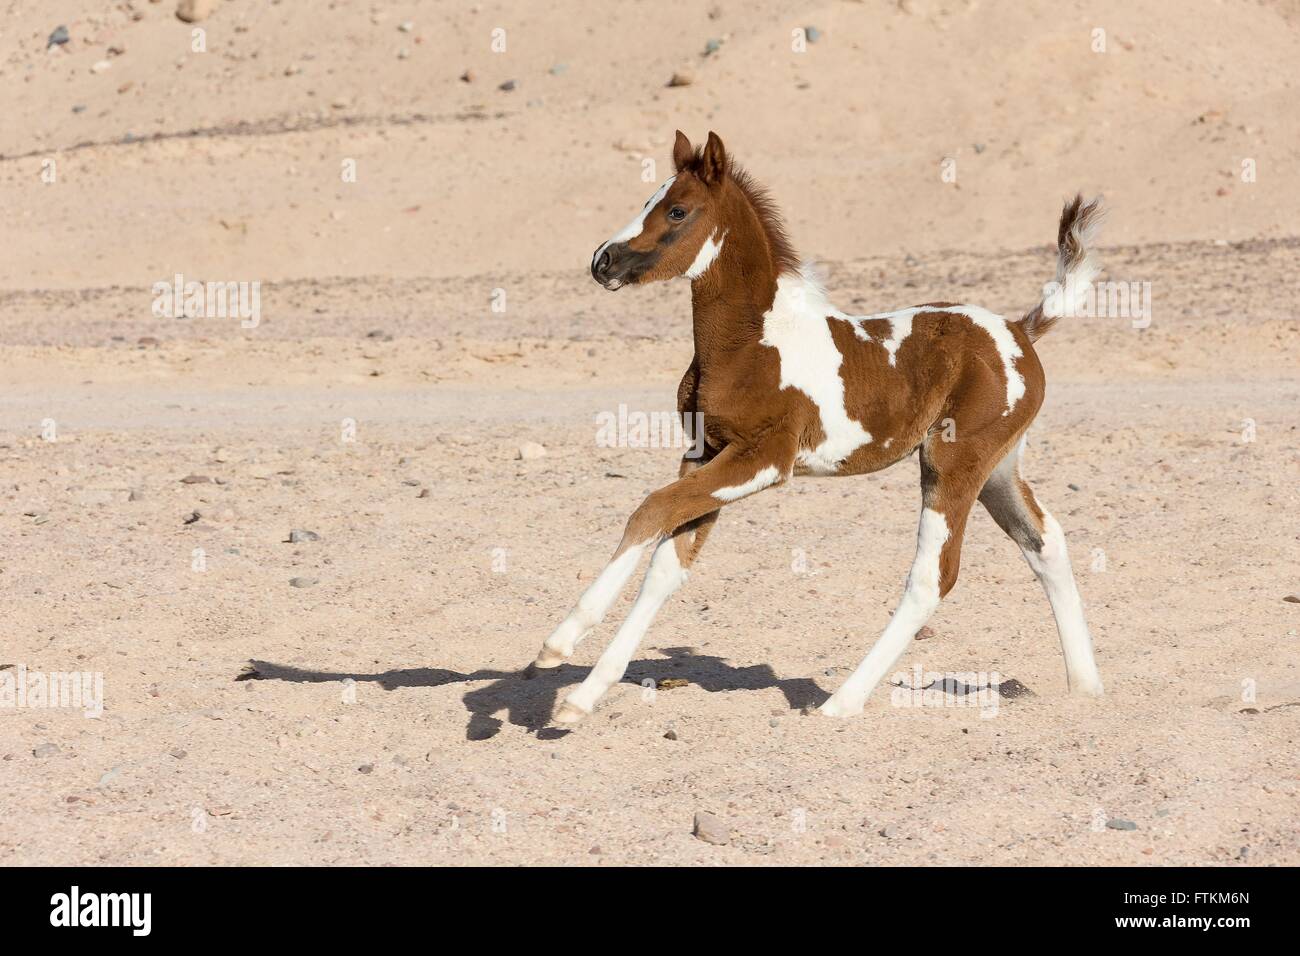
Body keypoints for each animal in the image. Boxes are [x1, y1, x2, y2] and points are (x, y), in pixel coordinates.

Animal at [528, 130, 1105, 724]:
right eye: (648, 201)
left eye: (677, 210)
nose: (603, 261)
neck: (750, 342)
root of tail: (1020, 331)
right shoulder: (704, 453)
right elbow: (667, 562)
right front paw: (580, 699)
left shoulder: (764, 459)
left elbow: (652, 508)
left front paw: (559, 644)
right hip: (997, 468)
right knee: (1045, 544)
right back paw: (1085, 688)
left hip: (952, 463)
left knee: (933, 576)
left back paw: (841, 703)